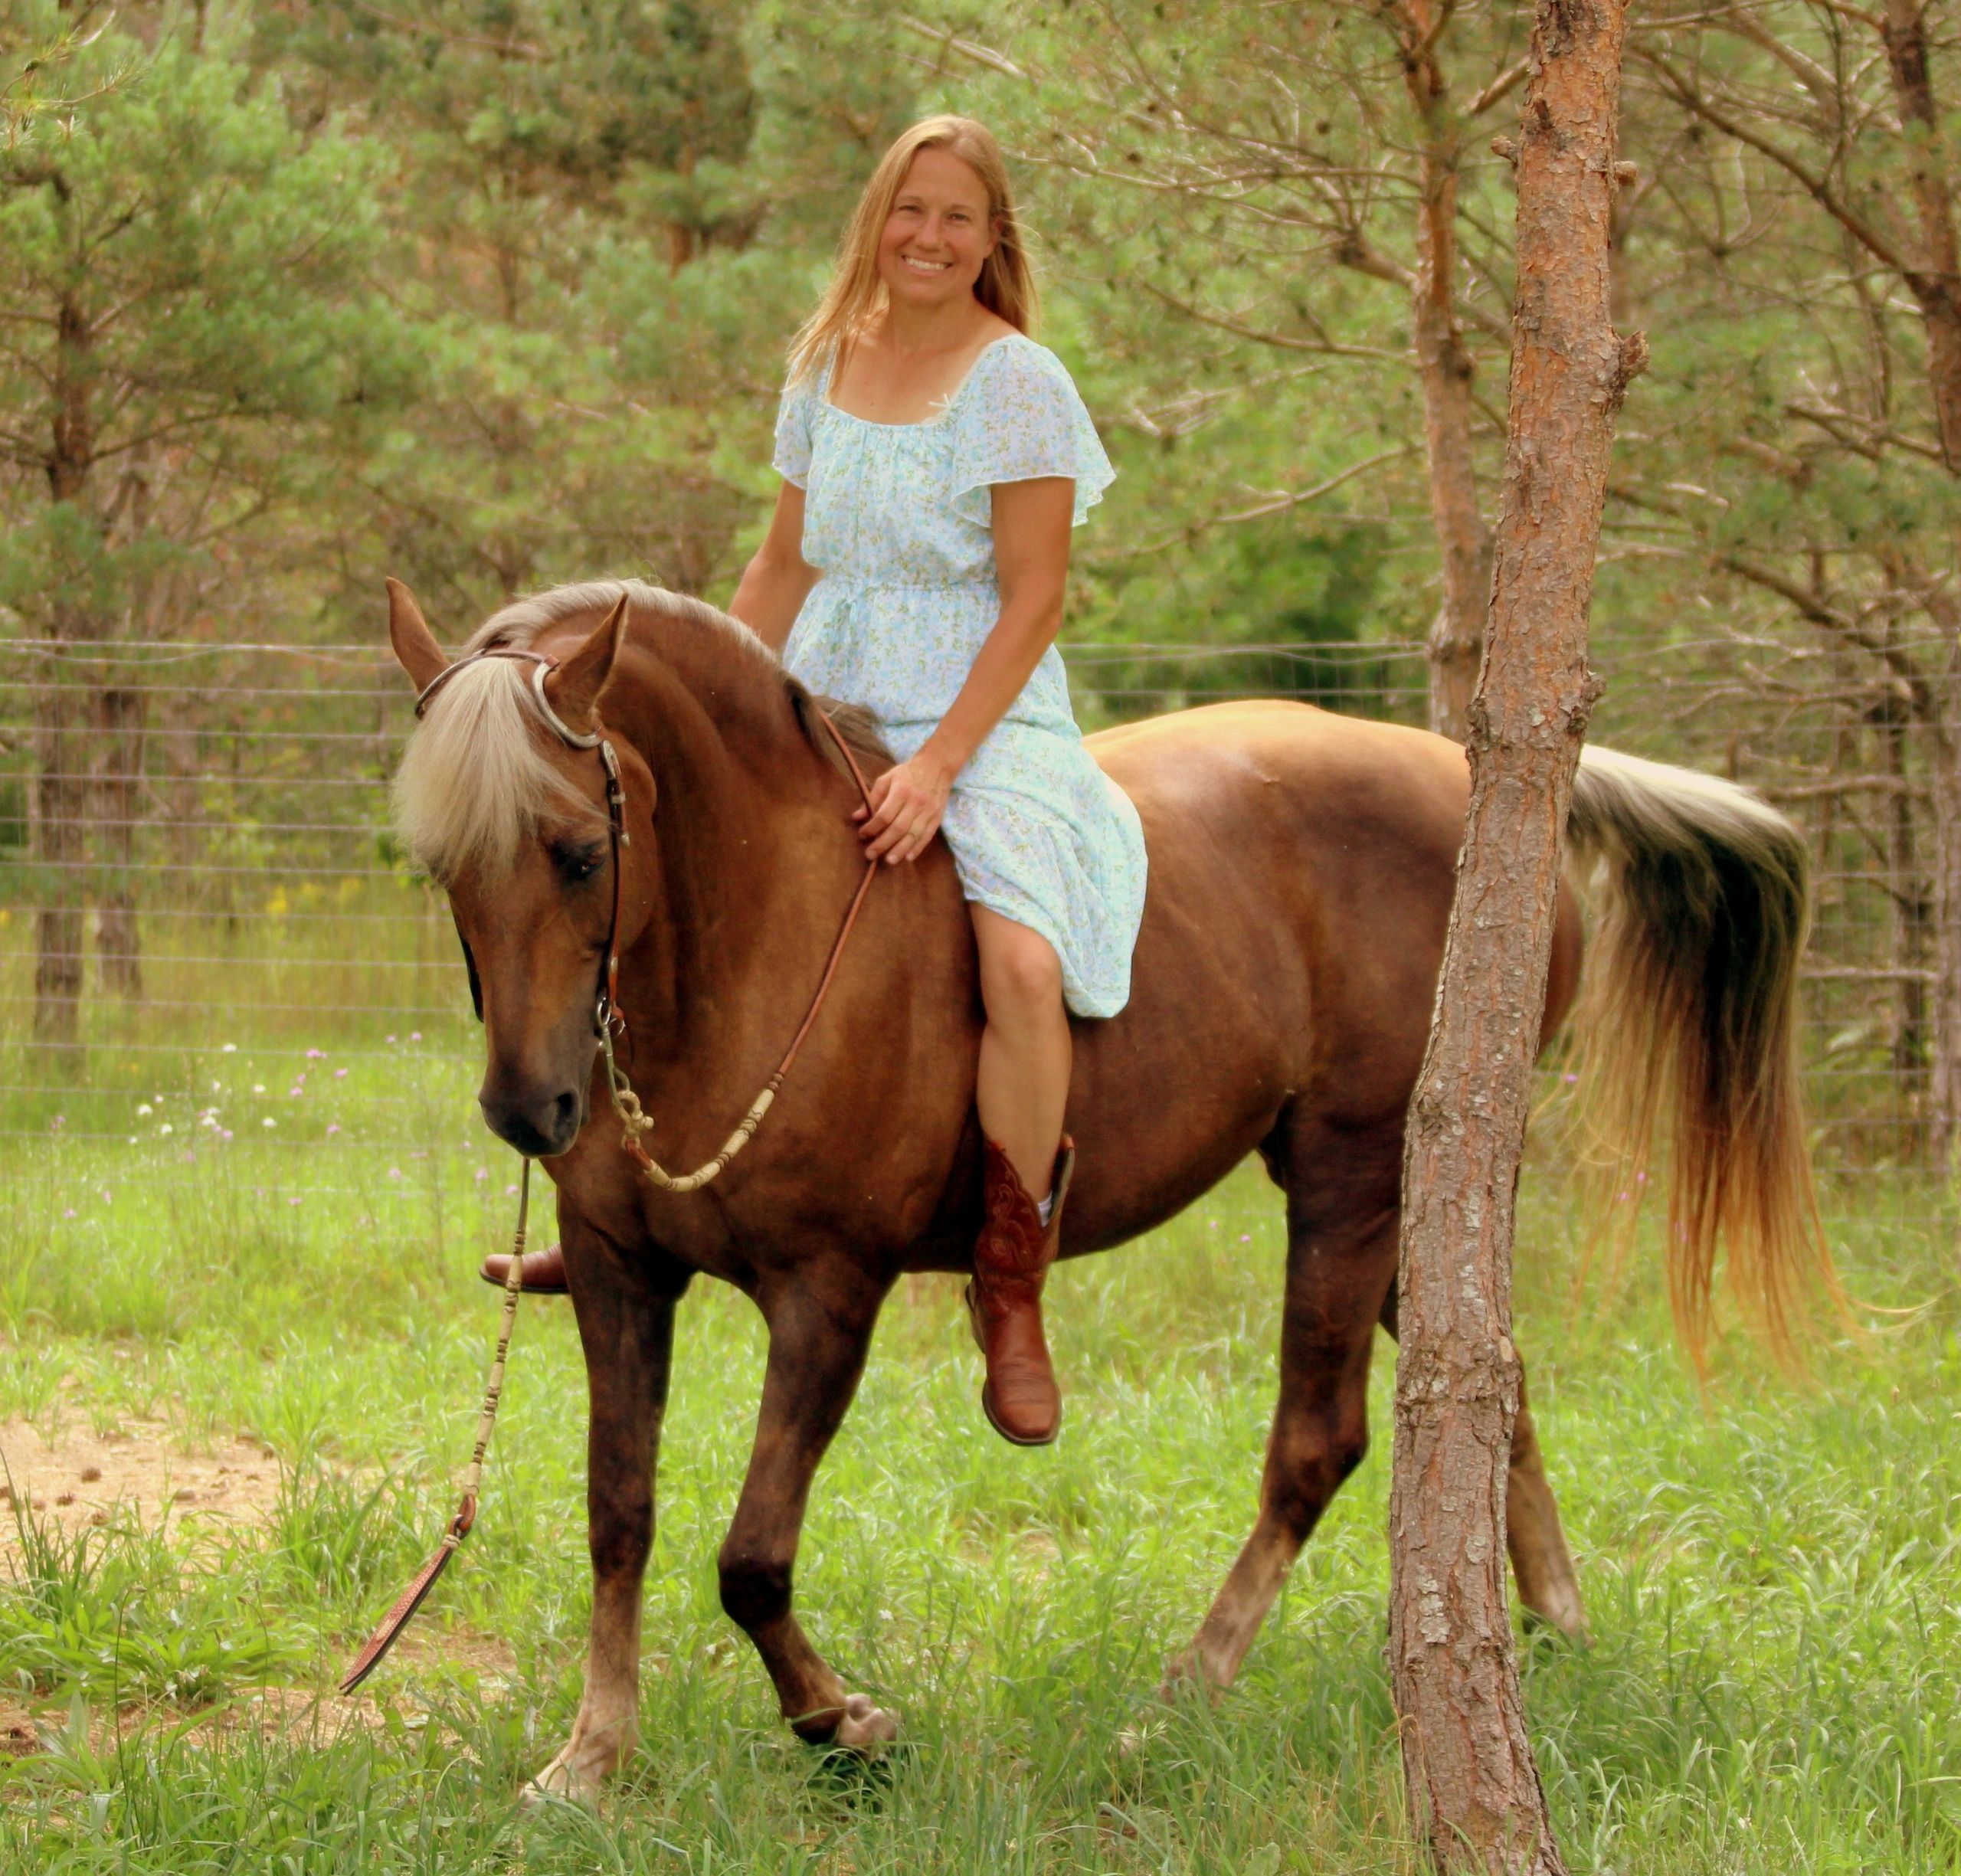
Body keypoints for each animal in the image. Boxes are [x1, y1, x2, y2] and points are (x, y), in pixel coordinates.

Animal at [383, 576, 1822, 1800]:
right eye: (444, 865)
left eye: (578, 852)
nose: (530, 1109)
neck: (758, 934)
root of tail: (1469, 783)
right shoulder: (619, 1273)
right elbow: (617, 1512)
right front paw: (592, 1756)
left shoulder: (827, 1293)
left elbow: (750, 1556)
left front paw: (842, 1721)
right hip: (1406, 1199)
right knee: (1488, 1376)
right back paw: (1554, 1624)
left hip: (1352, 1177)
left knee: (1321, 1441)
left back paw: (1184, 1694)